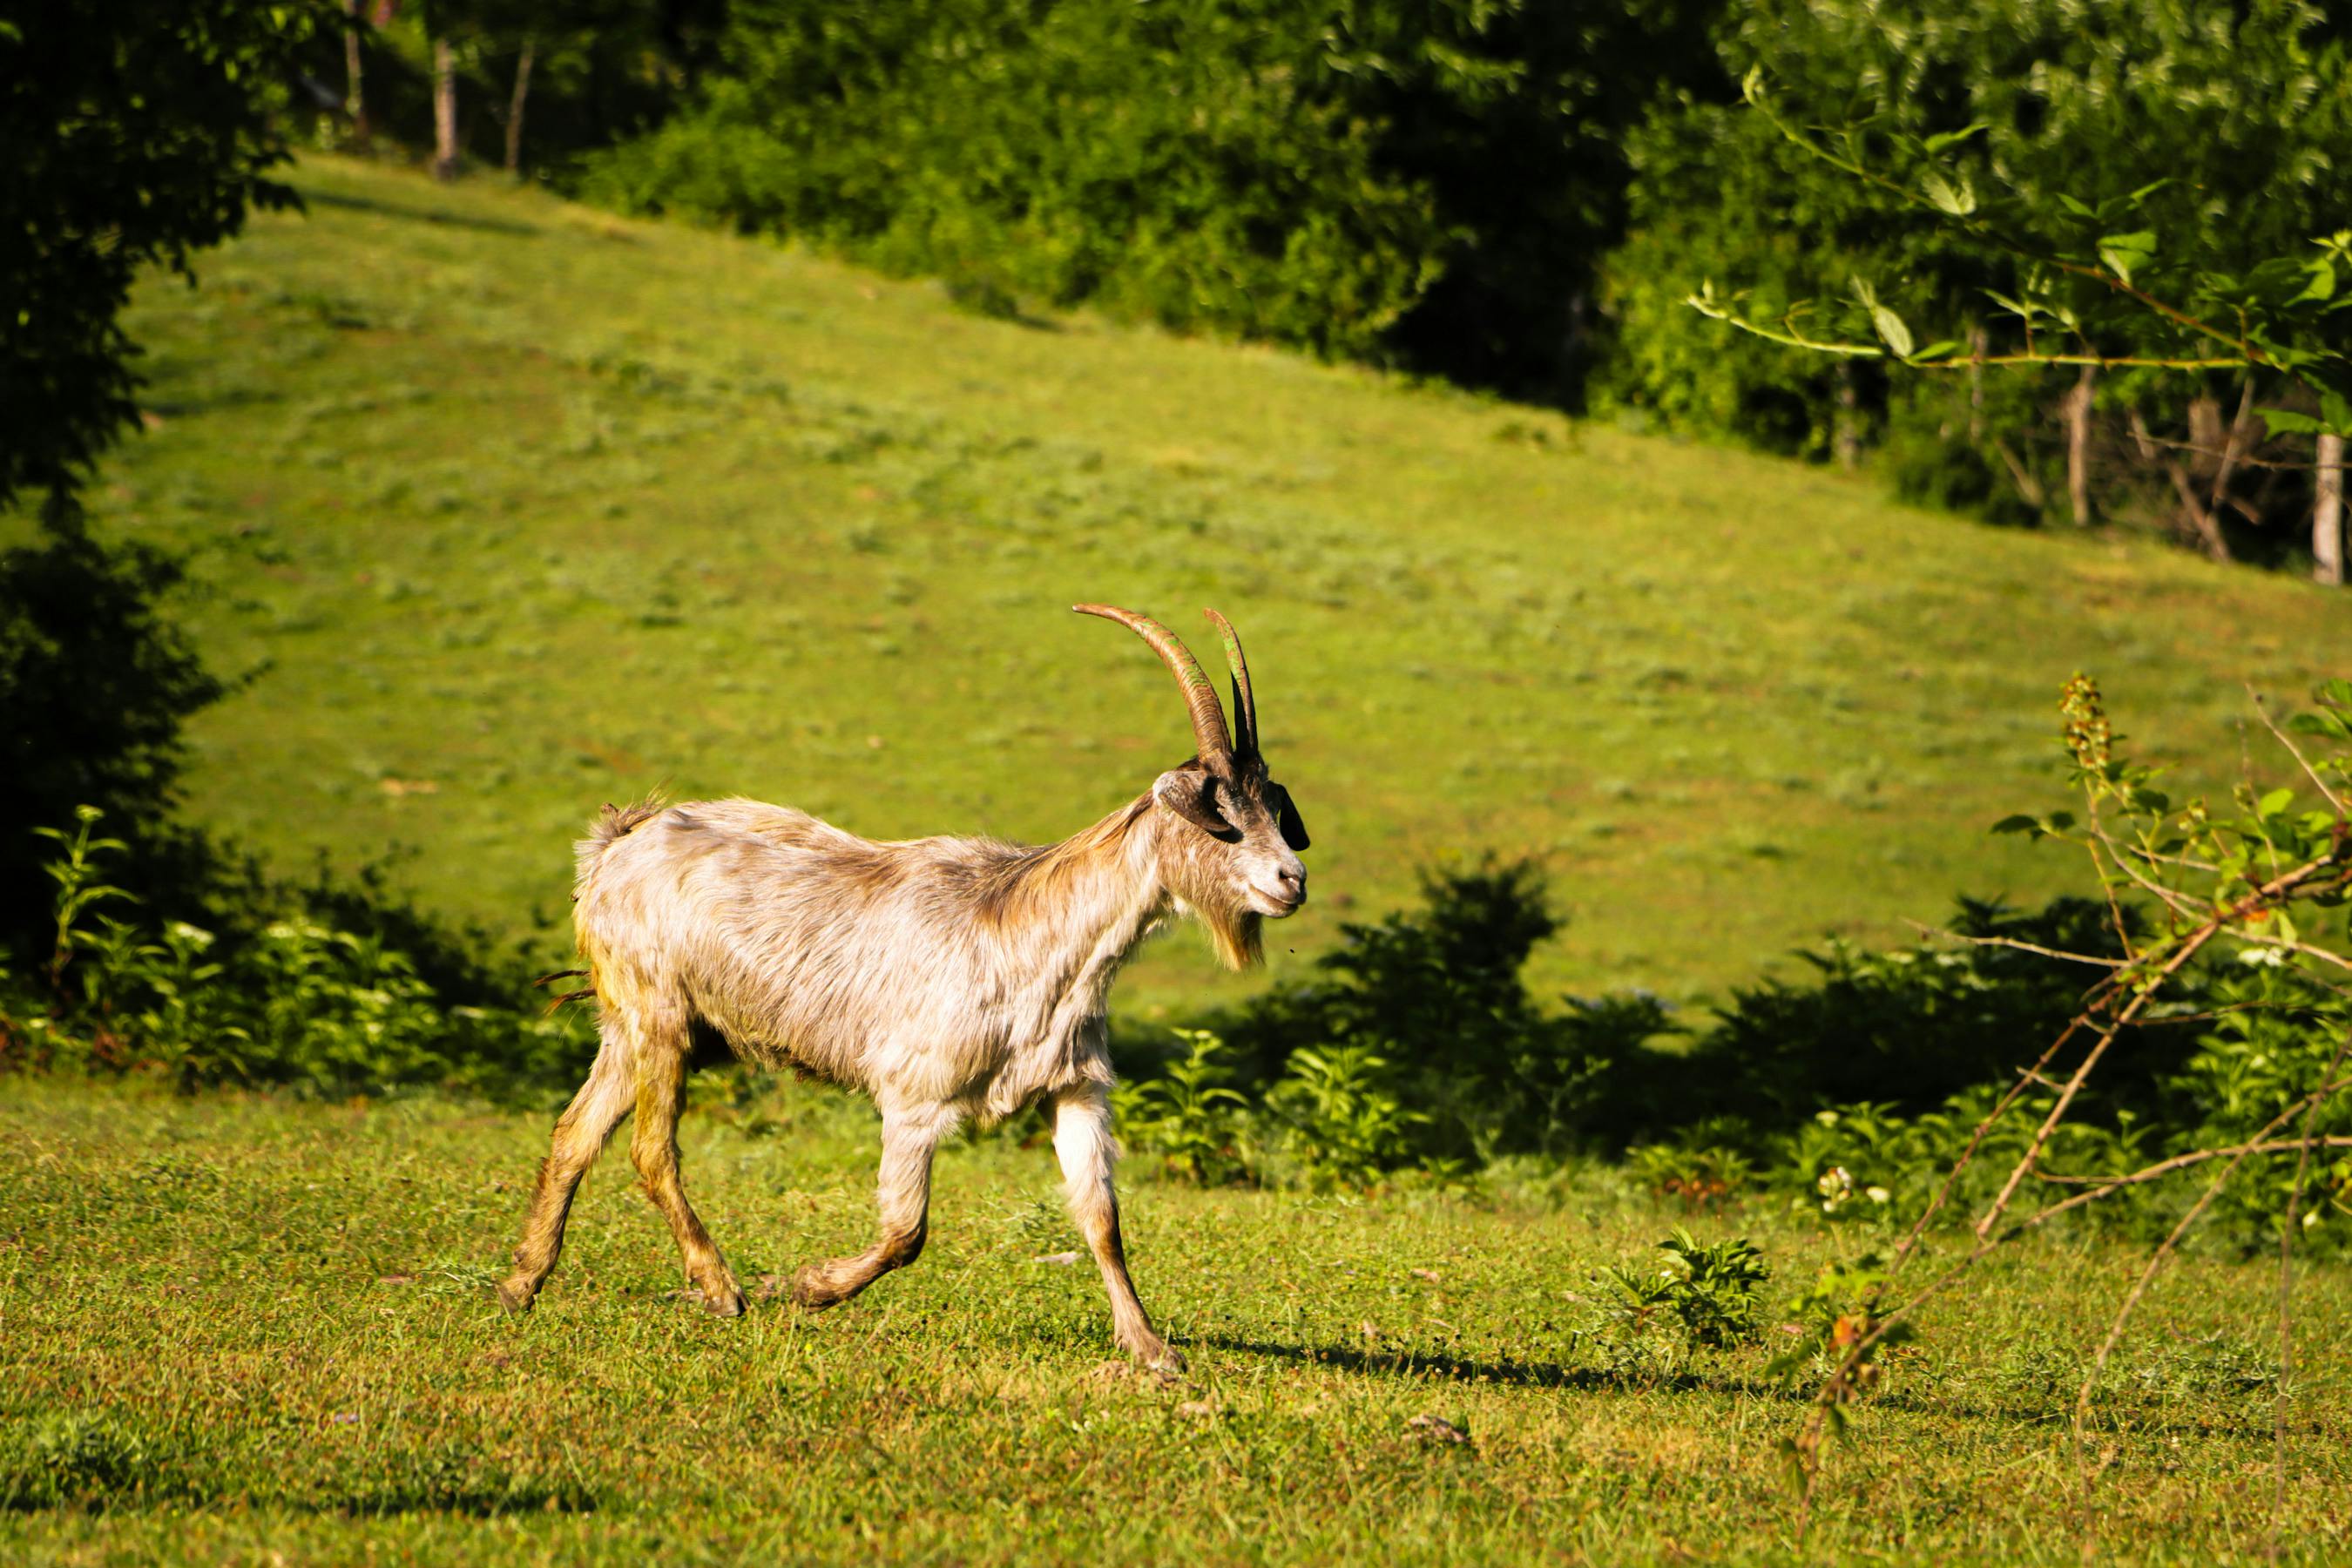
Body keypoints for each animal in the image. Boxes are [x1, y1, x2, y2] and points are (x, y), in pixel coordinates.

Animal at [495, 605, 1310, 1372]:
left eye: (1273, 808)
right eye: (1220, 817)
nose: (1291, 880)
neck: (1031, 933)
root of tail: (615, 846)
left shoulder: (1075, 1089)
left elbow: (1102, 1220)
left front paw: (1151, 1350)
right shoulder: (915, 1097)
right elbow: (905, 1233)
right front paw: (805, 1287)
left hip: (645, 1027)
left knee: (575, 1132)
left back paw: (520, 1284)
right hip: (658, 1012)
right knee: (650, 1149)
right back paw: (721, 1287)